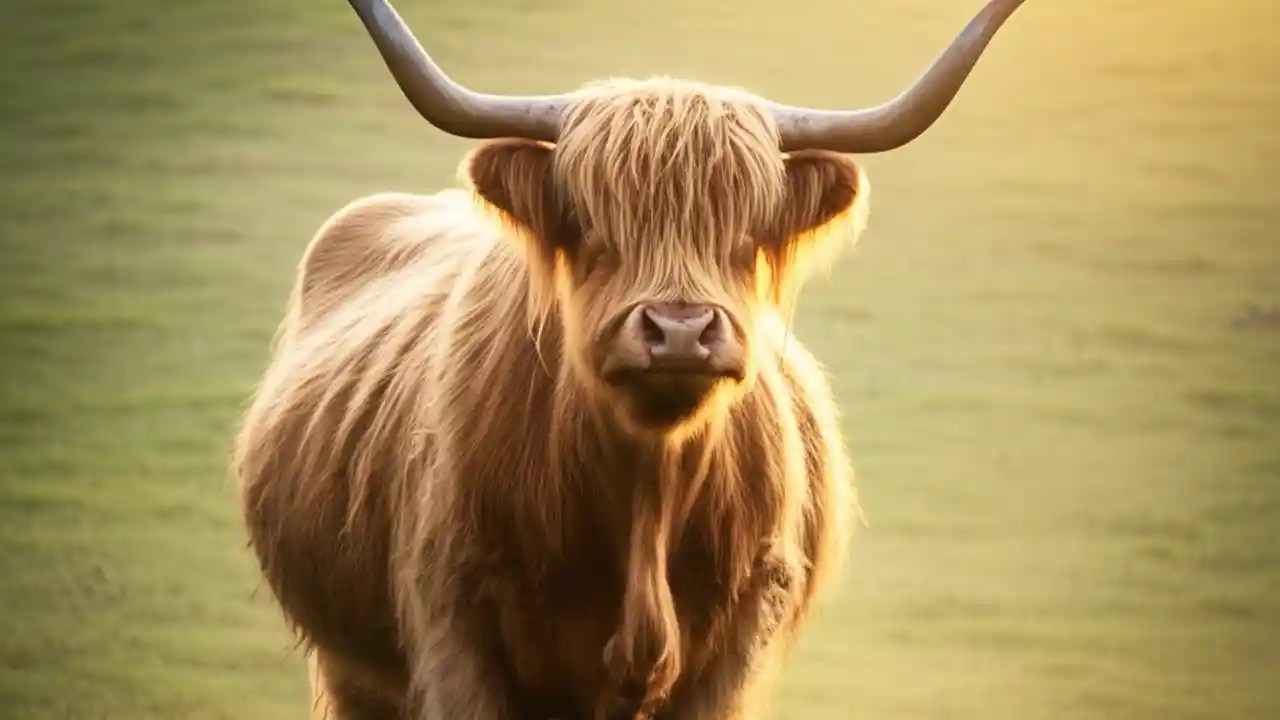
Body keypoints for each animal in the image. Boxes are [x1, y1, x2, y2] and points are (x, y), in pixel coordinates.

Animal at [233, 1, 1029, 718]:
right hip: (351, 667)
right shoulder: (454, 631)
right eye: (589, 225)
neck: (650, 490)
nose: (679, 331)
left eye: (746, 235)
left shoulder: (734, 653)